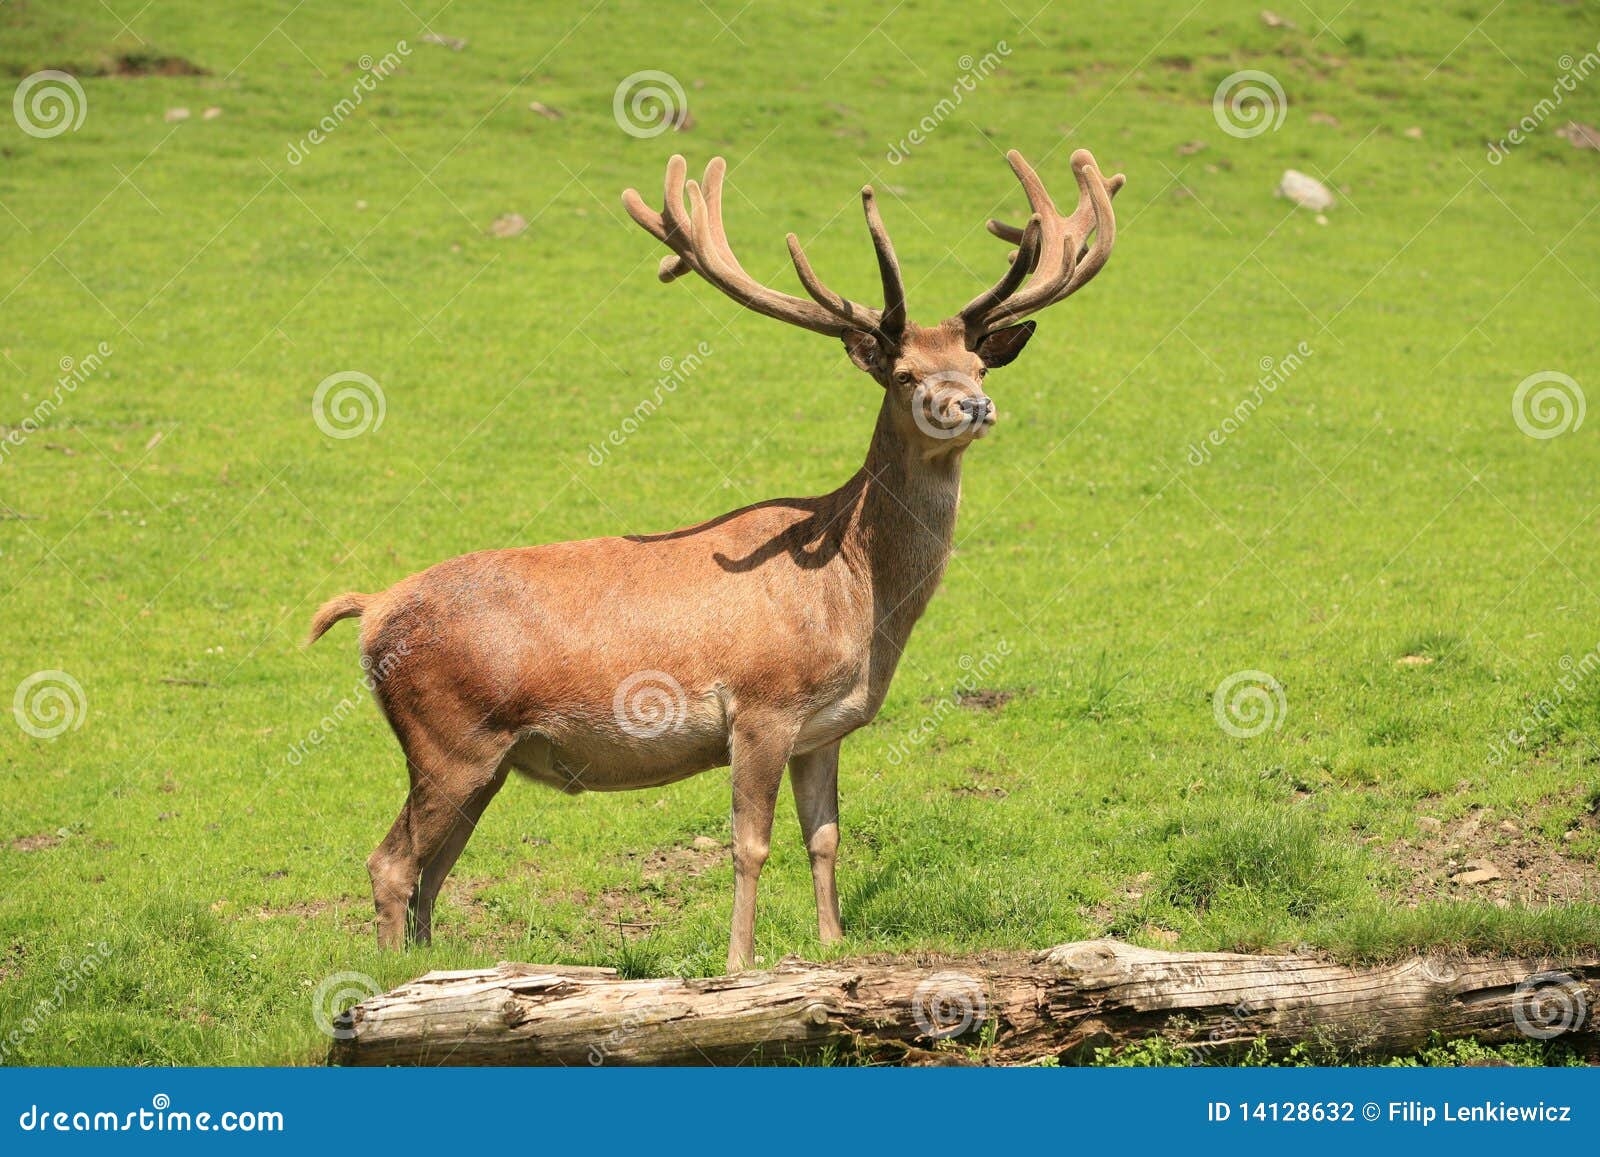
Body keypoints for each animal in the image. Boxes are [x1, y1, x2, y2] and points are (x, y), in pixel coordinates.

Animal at [307, 147, 1123, 972]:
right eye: (904, 376)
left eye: (979, 368)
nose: (970, 406)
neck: (856, 595)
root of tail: (370, 609)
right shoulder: (762, 703)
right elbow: (751, 844)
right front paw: (740, 962)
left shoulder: (825, 727)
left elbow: (825, 836)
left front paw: (833, 944)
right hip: (450, 736)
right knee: (391, 862)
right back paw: (392, 974)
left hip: (489, 757)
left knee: (433, 868)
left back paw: (431, 967)